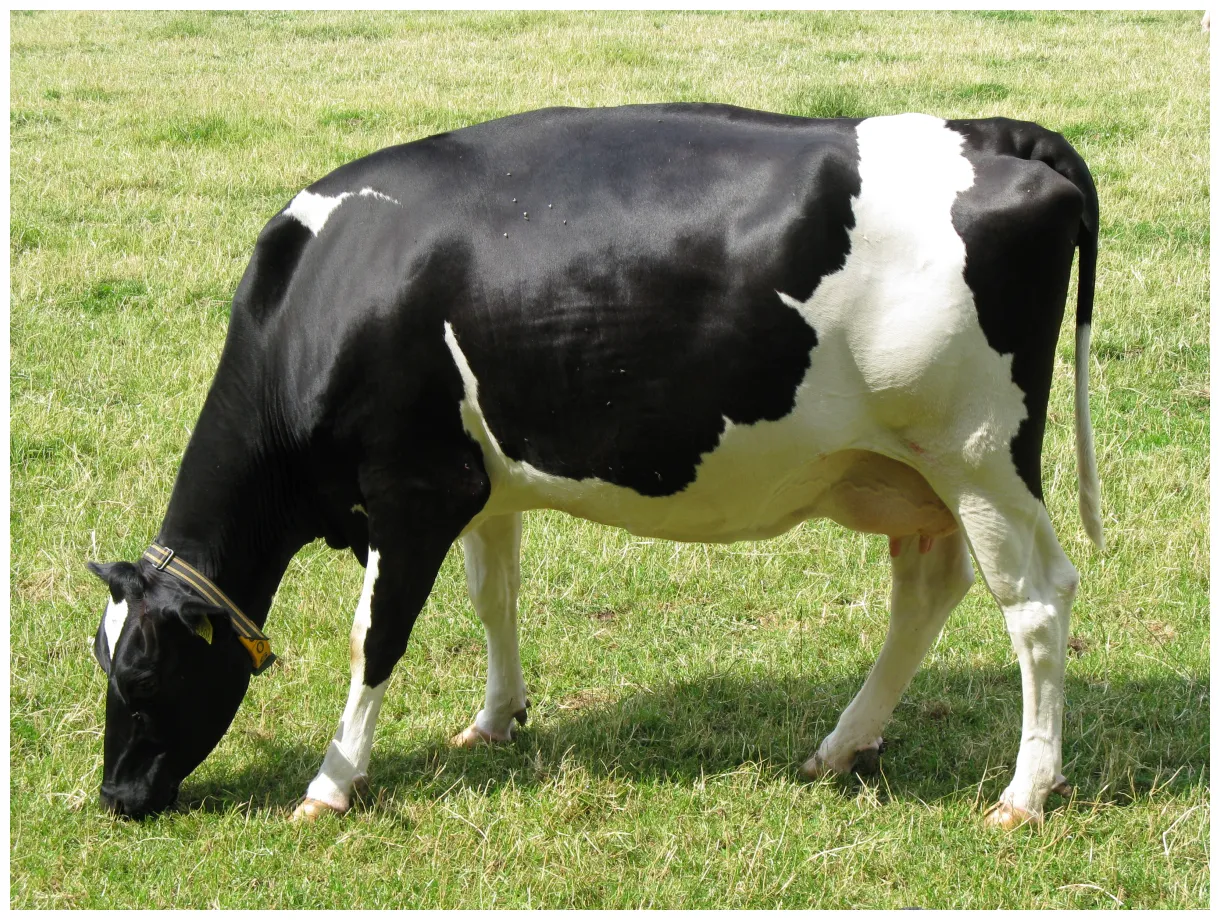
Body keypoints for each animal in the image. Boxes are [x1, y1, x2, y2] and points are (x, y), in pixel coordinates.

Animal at [87, 104, 1101, 830]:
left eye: (140, 678)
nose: (117, 799)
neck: (329, 292)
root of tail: (991, 131)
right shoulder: (482, 486)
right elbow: (493, 599)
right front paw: (495, 718)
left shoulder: (411, 492)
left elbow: (375, 638)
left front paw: (332, 783)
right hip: (917, 474)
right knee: (927, 592)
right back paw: (842, 746)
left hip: (981, 456)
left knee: (1037, 604)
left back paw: (1025, 792)